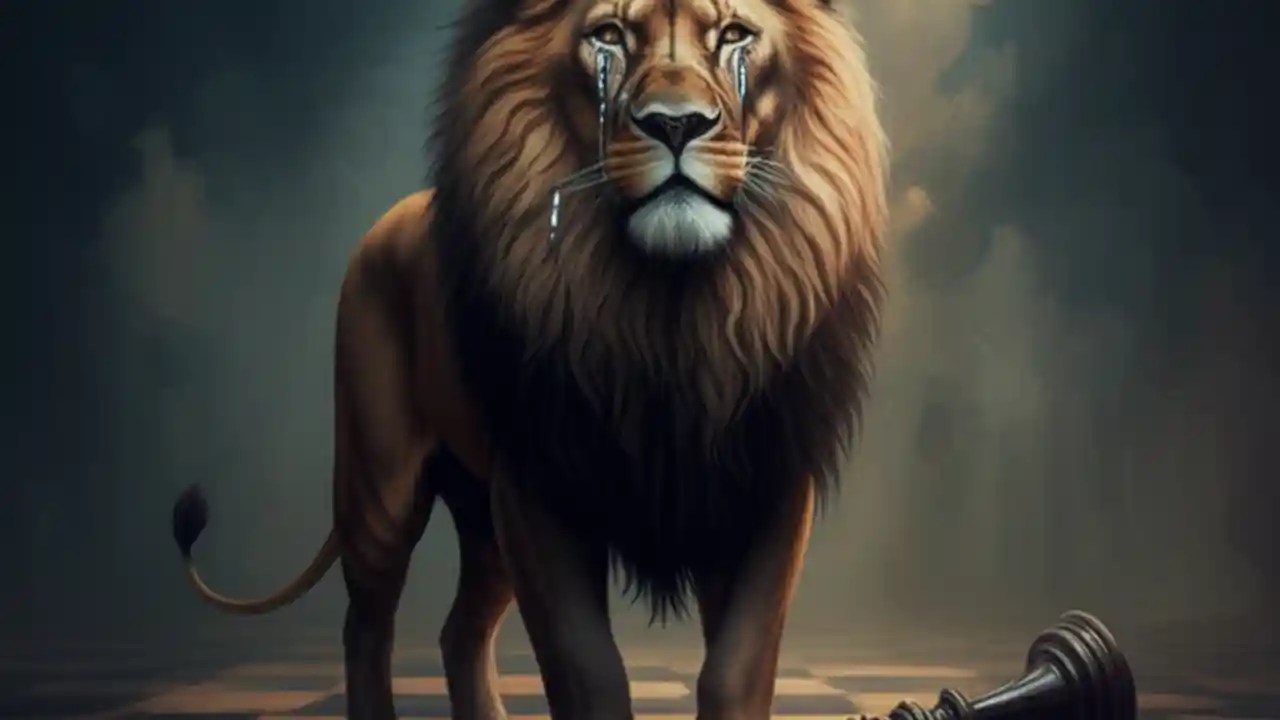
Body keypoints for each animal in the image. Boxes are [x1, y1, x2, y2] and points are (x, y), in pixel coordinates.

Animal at [169, 0, 888, 718]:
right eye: (609, 35)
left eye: (735, 35)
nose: (675, 124)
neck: (672, 311)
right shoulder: (539, 485)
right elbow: (588, 668)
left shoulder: (768, 485)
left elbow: (736, 669)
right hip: (381, 488)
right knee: (366, 626)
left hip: (482, 520)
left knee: (460, 630)